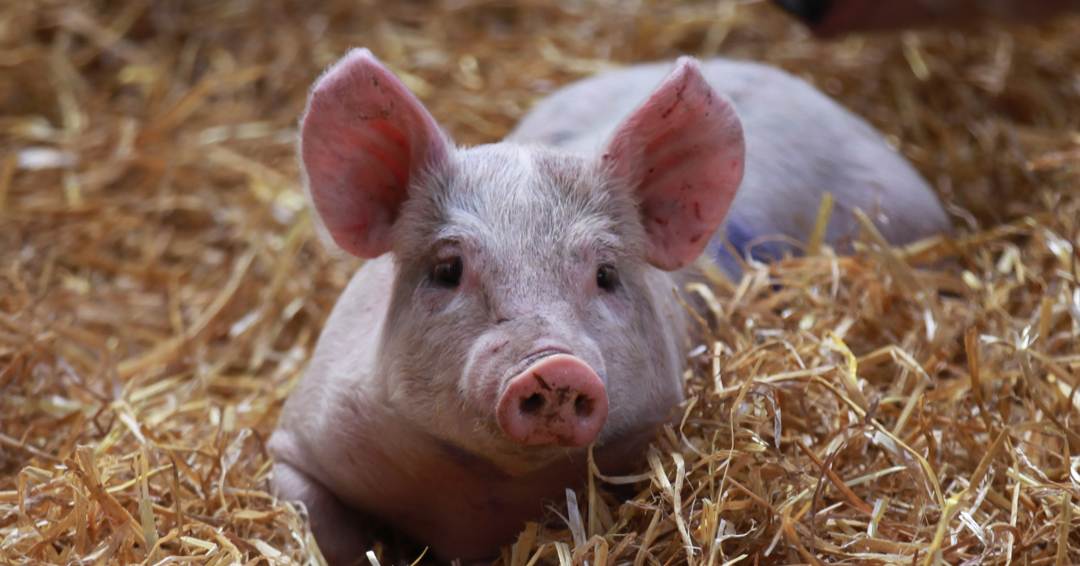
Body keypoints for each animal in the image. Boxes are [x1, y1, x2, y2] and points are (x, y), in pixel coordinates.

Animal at [269, 49, 950, 565]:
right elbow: (319, 522)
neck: (483, 503)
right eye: (447, 269)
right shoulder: (302, 437)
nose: (551, 364)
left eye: (605, 274)